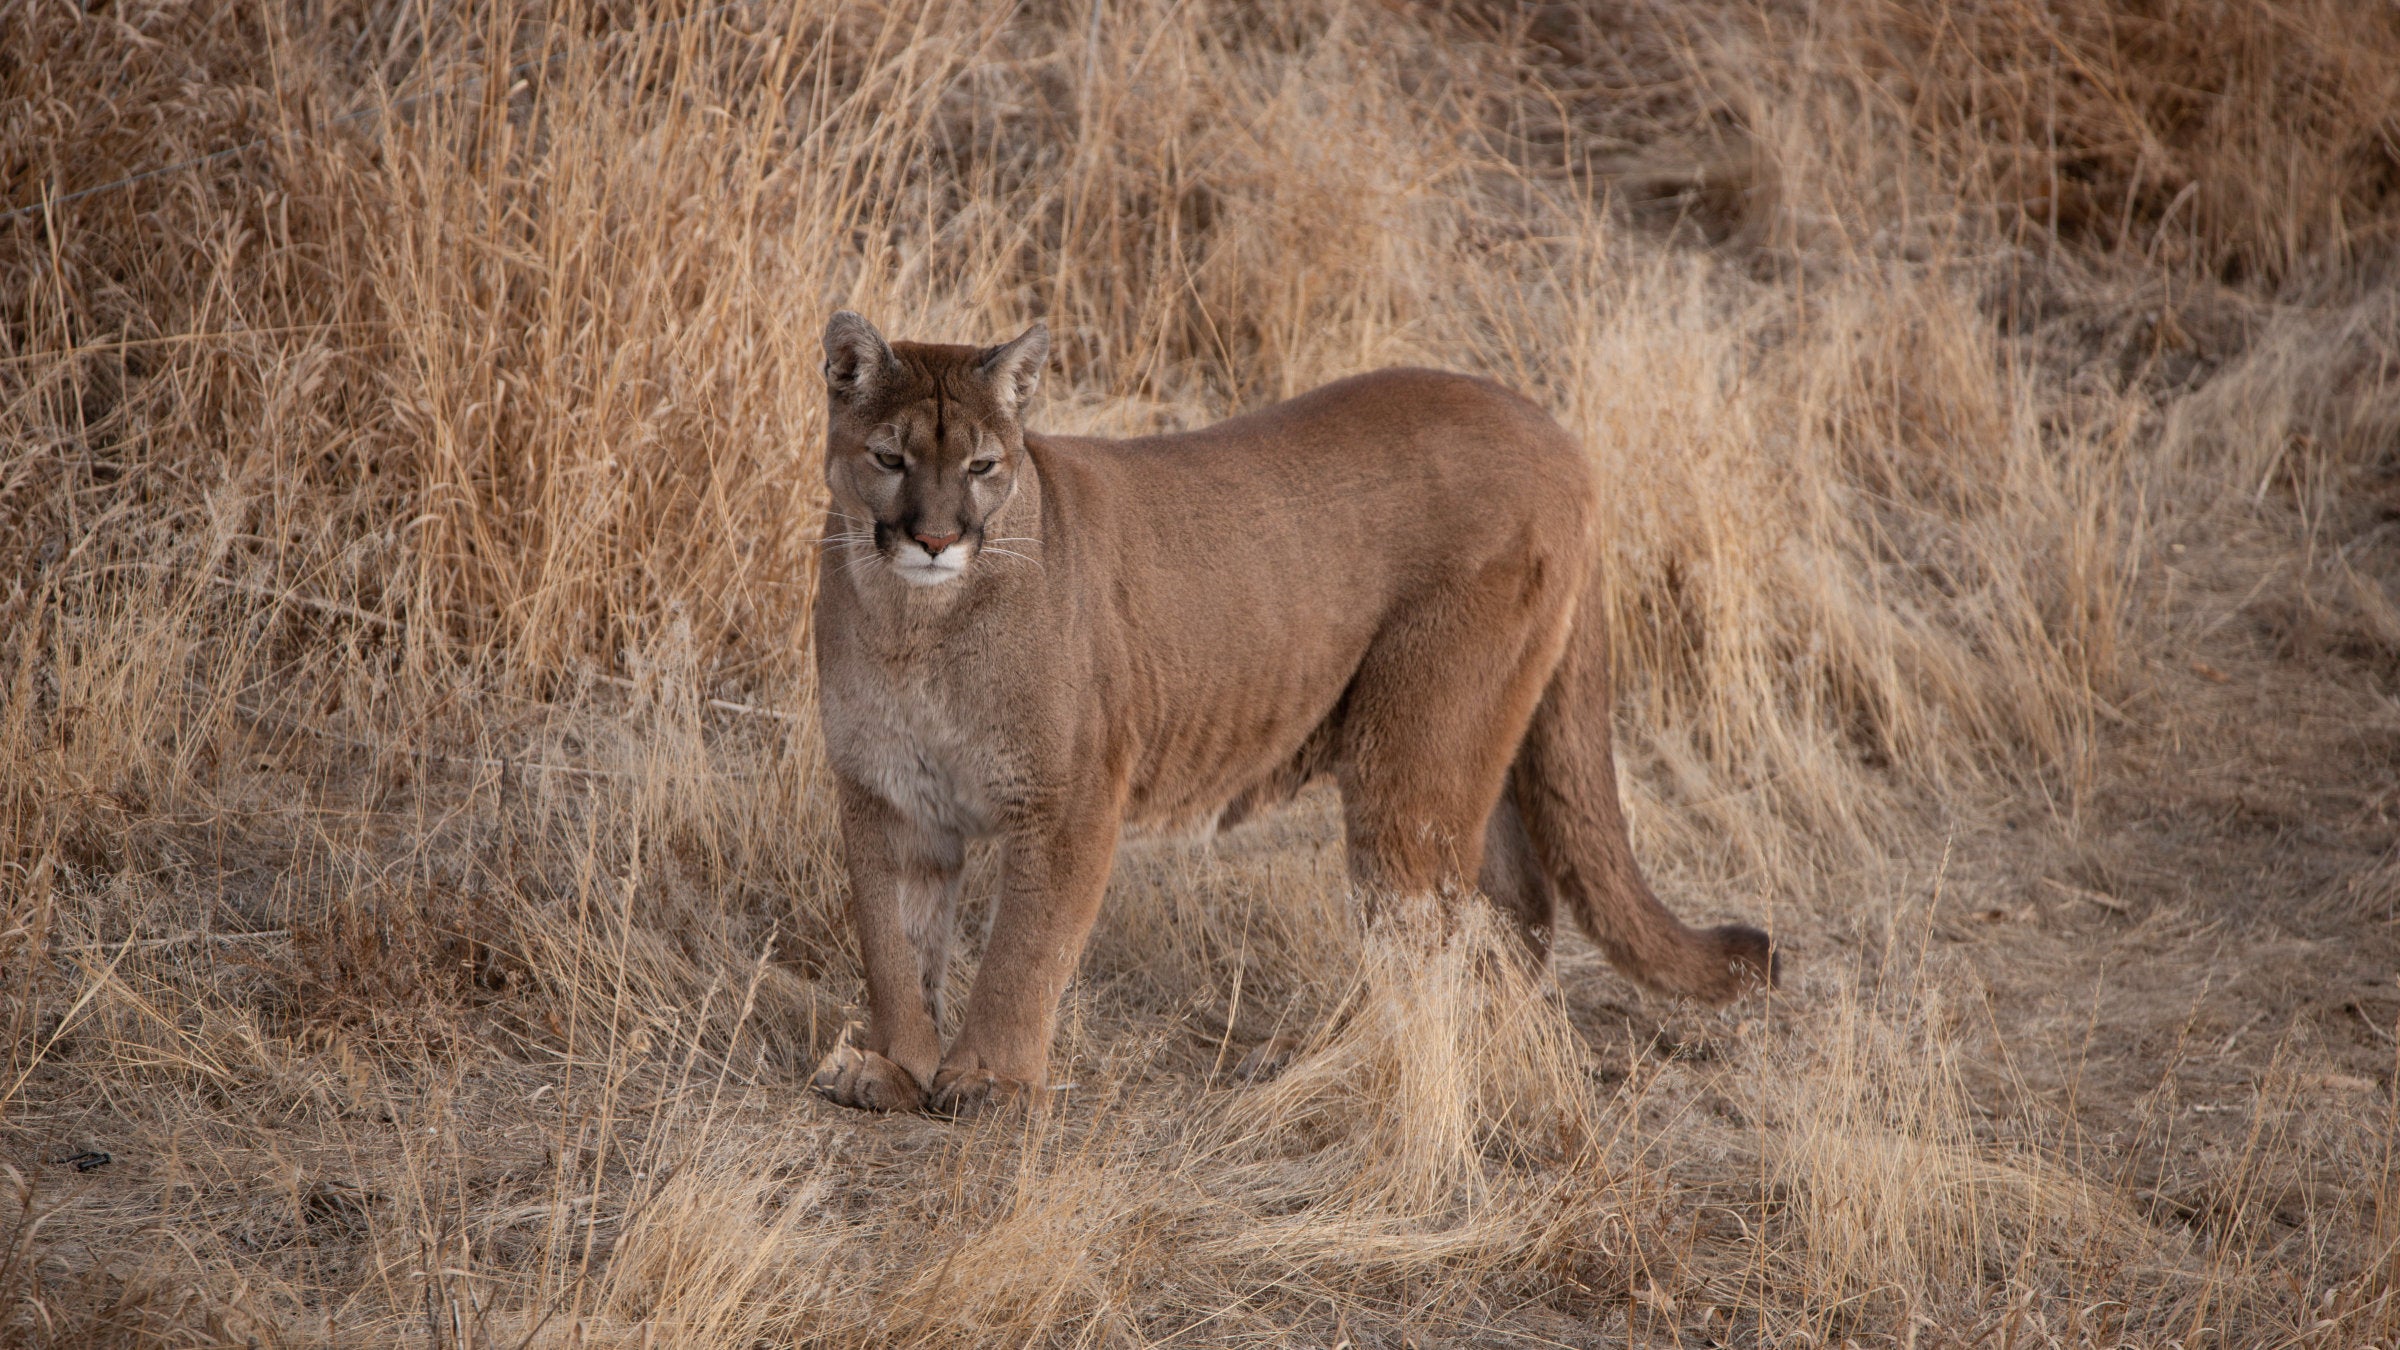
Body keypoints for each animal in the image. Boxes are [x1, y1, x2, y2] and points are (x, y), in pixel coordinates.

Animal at [806, 312, 1776, 1117]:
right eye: (890, 459)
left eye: (981, 467)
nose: (936, 539)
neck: (917, 626)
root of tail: (1552, 428)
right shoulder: (885, 795)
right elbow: (894, 943)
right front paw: (894, 1066)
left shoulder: (1067, 803)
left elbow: (1024, 951)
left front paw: (989, 1080)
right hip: (1464, 738)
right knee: (1515, 902)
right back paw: (1478, 1043)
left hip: (1410, 756)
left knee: (1428, 925)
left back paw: (1358, 1068)